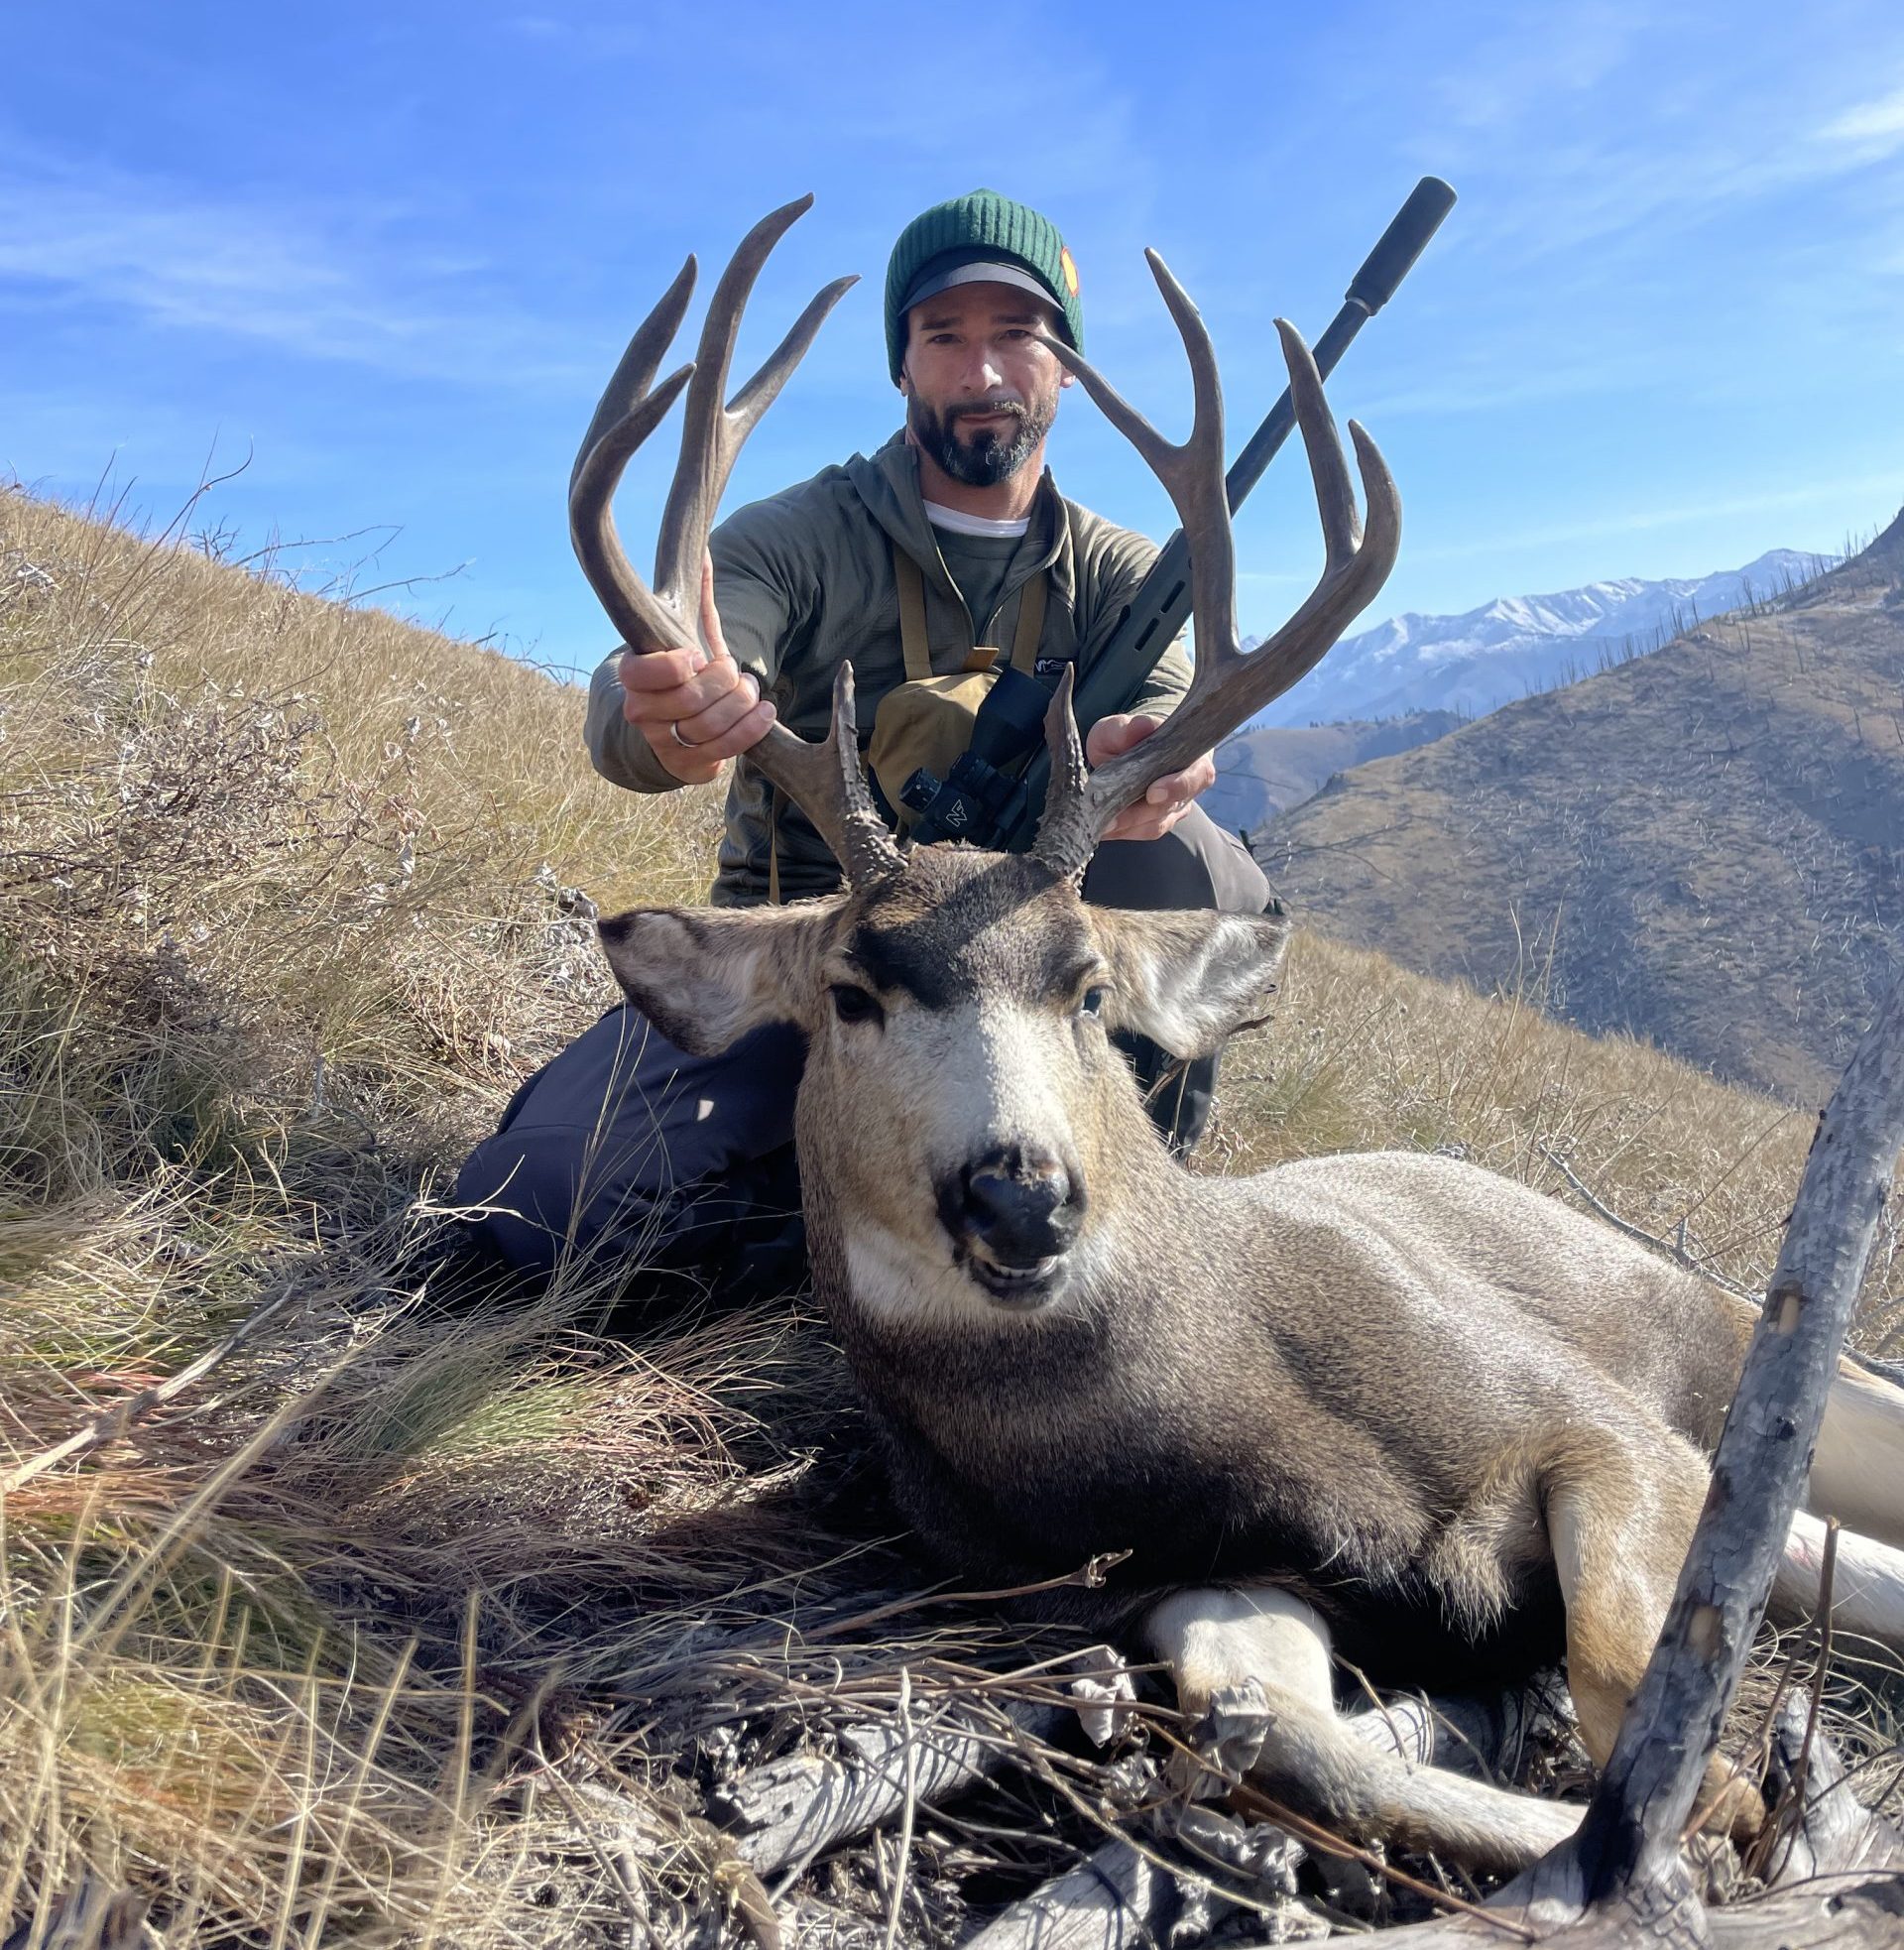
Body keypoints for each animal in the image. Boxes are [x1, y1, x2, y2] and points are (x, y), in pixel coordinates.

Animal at [572, 200, 1904, 1872]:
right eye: (852, 994)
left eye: (1088, 988)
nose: (1021, 1194)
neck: (1212, 1402)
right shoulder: (1194, 1577)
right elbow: (1291, 1742)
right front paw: (1641, 1835)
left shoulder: (1604, 1427)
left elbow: (1612, 1663)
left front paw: (1711, 1804)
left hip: (1761, 1345)